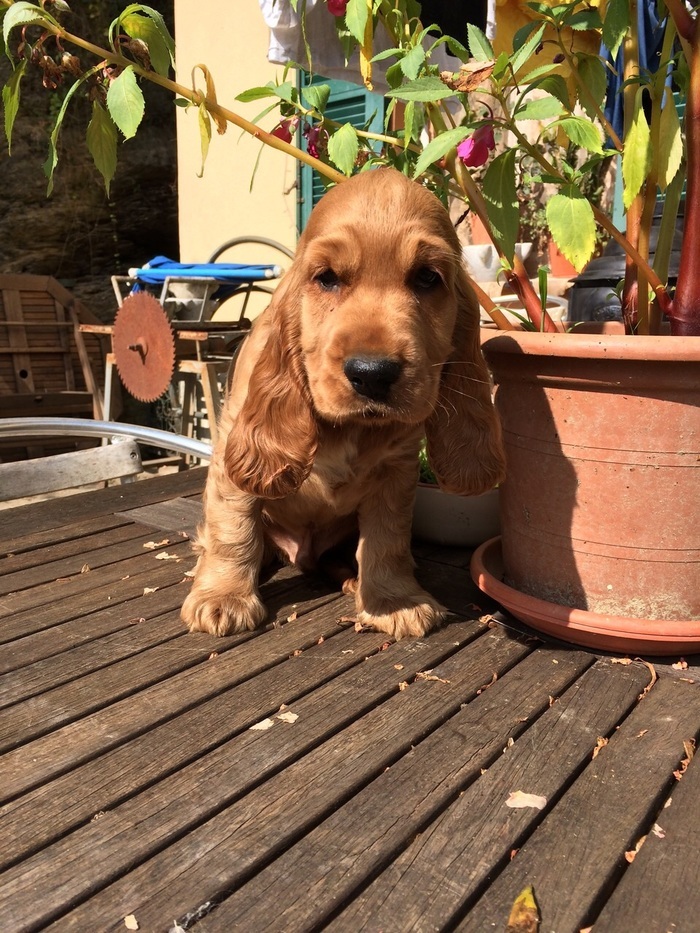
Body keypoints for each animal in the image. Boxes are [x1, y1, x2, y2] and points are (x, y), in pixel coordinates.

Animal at [183, 166, 506, 640]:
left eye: (428, 278)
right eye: (327, 278)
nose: (372, 373)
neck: (349, 426)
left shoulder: (397, 468)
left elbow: (387, 538)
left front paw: (393, 601)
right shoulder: (232, 449)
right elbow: (234, 527)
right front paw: (223, 598)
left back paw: (354, 578)